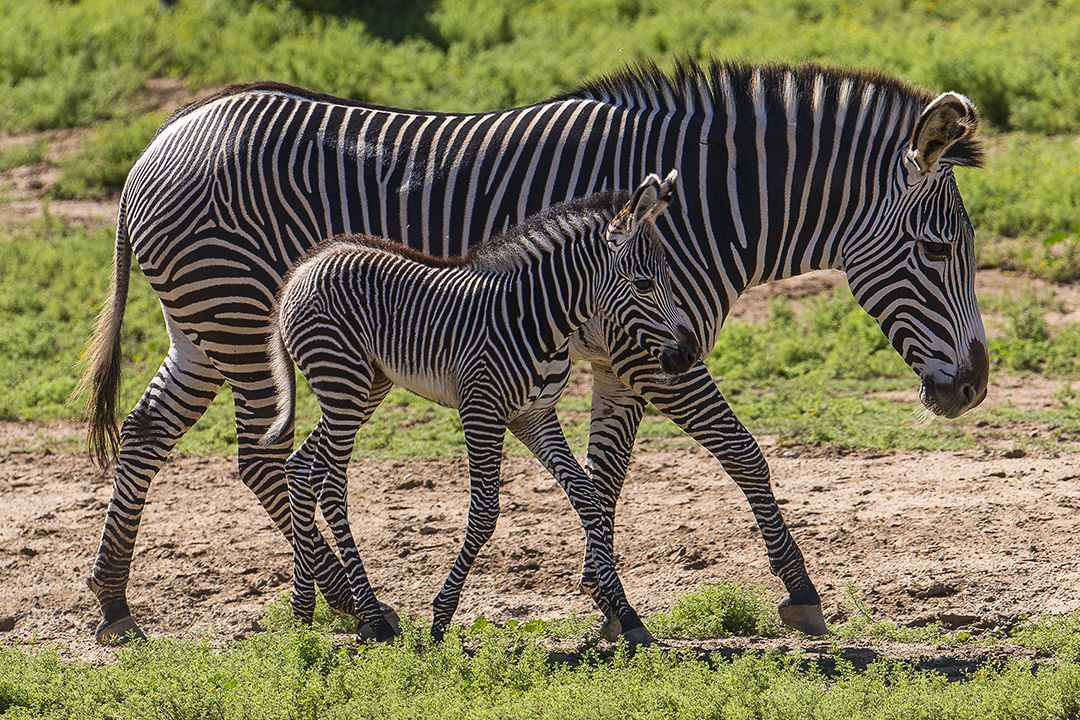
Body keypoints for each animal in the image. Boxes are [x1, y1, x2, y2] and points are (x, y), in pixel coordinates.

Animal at [261, 173, 695, 643]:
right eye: (643, 284)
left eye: (666, 280)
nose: (688, 355)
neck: (538, 319)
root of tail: (307, 265)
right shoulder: (480, 410)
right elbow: (486, 513)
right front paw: (441, 618)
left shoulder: (534, 415)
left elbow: (587, 496)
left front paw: (627, 614)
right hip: (342, 382)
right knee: (330, 486)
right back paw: (373, 618)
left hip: (365, 386)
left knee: (300, 468)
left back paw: (303, 610)